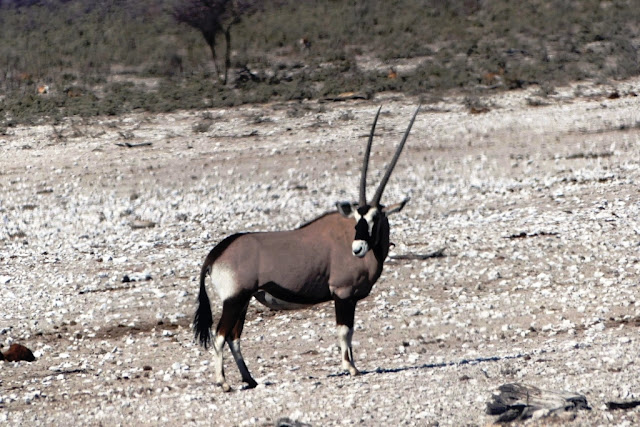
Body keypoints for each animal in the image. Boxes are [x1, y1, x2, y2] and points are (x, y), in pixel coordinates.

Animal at [194, 105, 420, 391]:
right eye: (358, 218)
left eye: (374, 218)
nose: (357, 249)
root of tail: (217, 252)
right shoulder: (343, 295)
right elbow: (344, 331)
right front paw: (351, 367)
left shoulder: (349, 299)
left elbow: (350, 332)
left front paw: (352, 364)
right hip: (234, 300)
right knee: (220, 335)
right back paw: (223, 382)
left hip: (243, 301)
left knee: (234, 337)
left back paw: (250, 379)